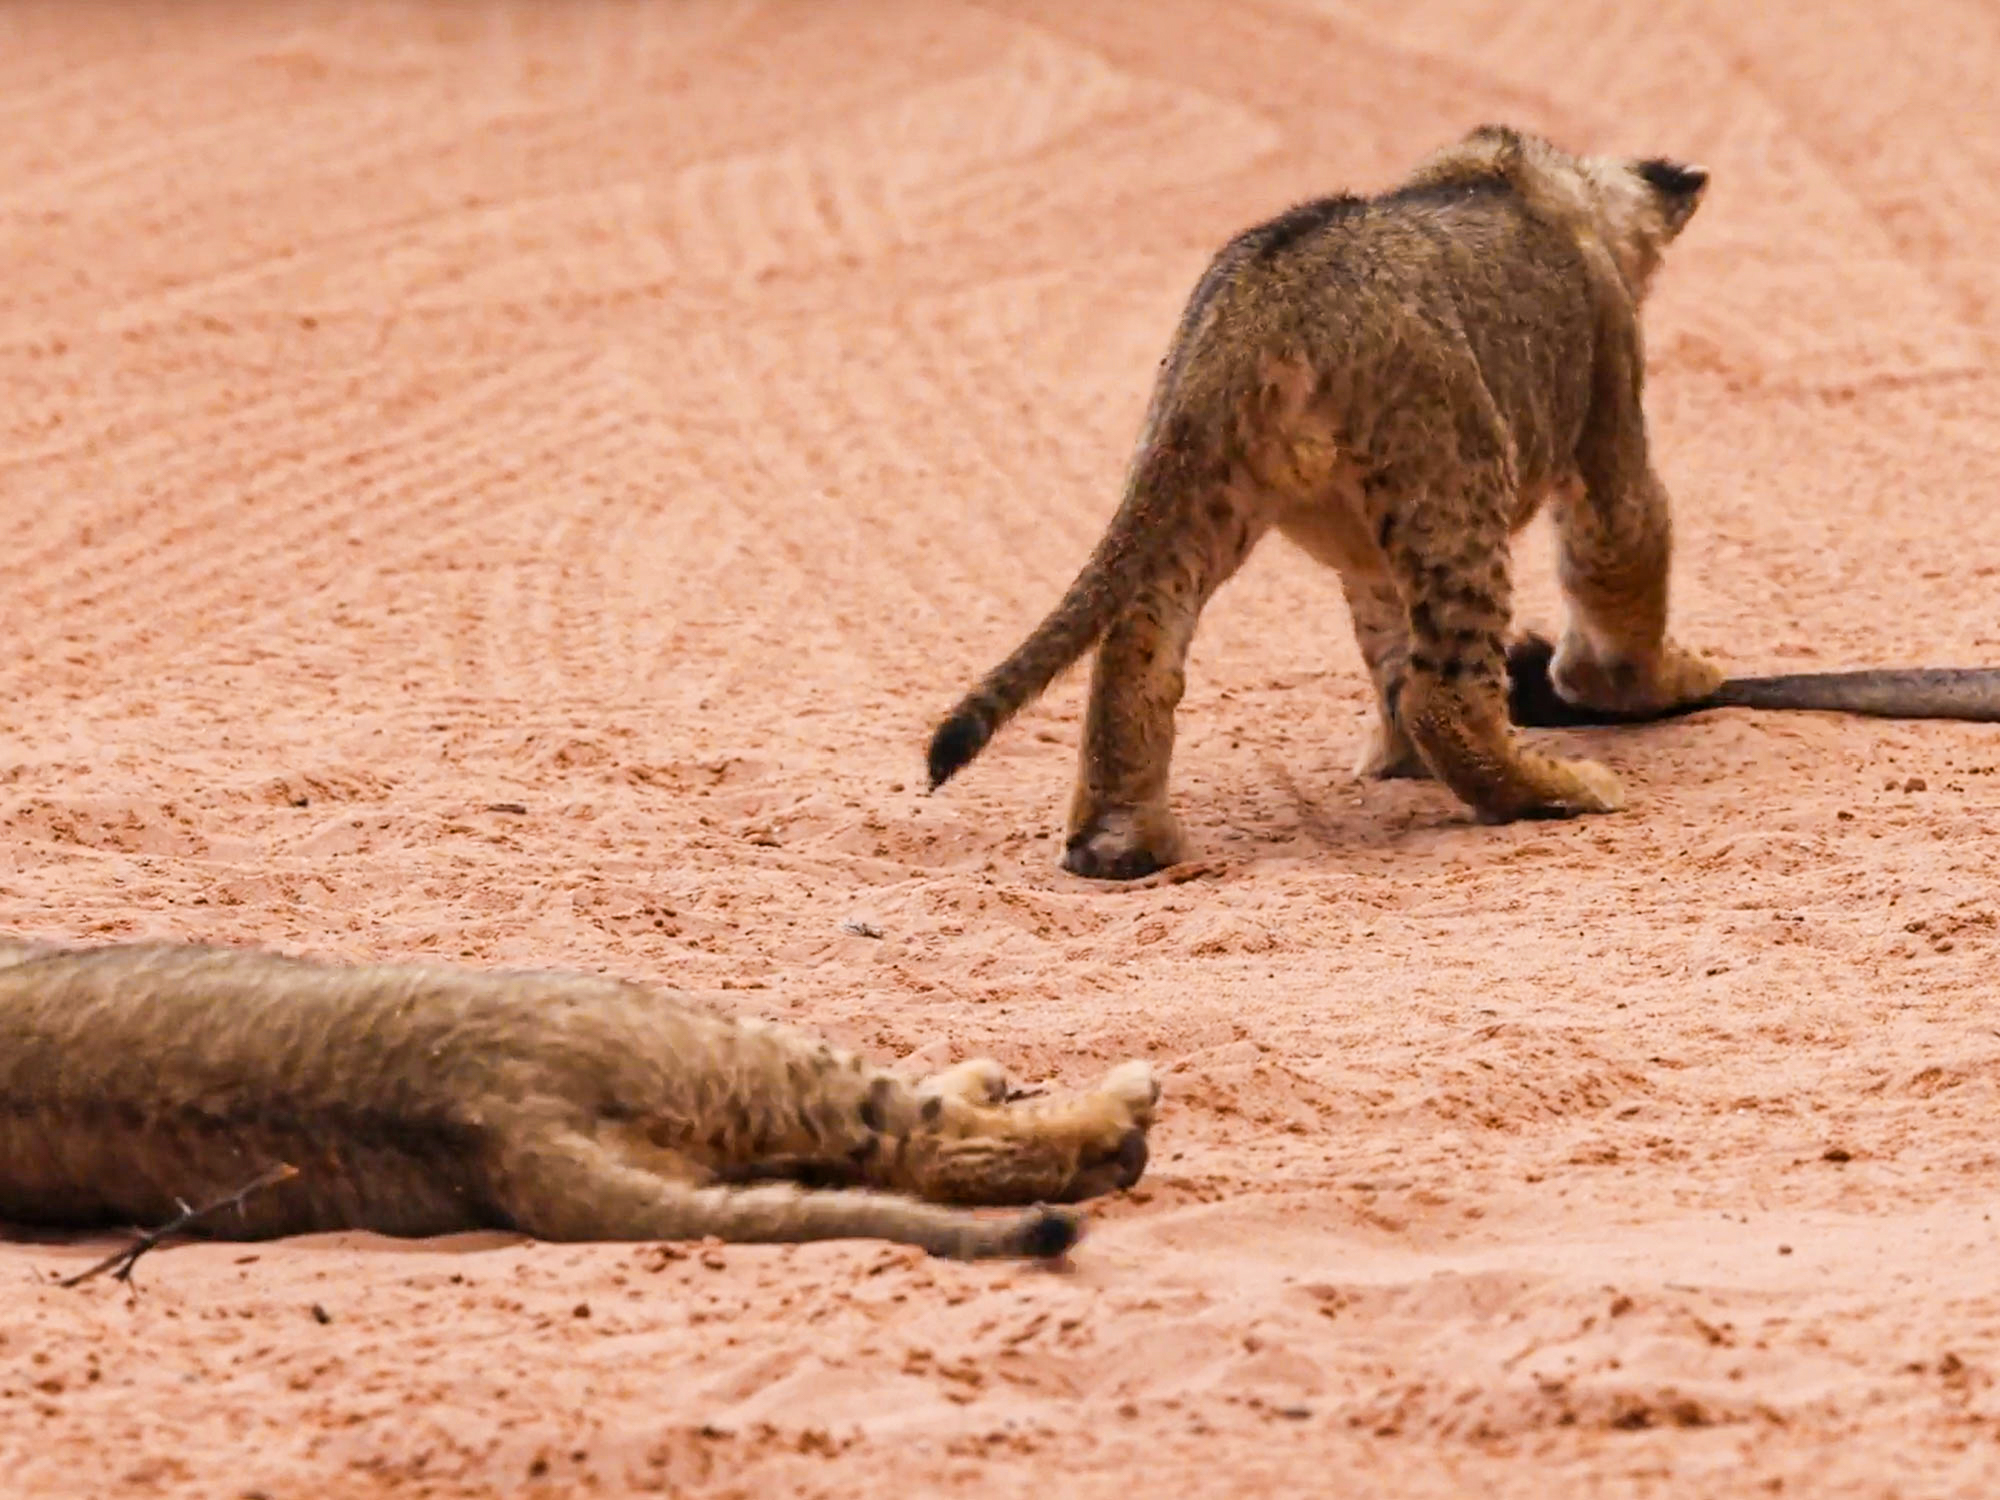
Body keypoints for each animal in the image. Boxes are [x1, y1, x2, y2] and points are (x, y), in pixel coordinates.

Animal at [926, 124, 1727, 879]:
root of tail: (1260, 299)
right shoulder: (1608, 414)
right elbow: (1623, 567)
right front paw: (1673, 681)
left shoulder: (1369, 555)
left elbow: (1388, 646)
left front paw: (1396, 760)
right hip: (1454, 473)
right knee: (1446, 697)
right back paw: (1560, 789)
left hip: (1200, 494)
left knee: (1135, 648)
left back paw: (1118, 843)